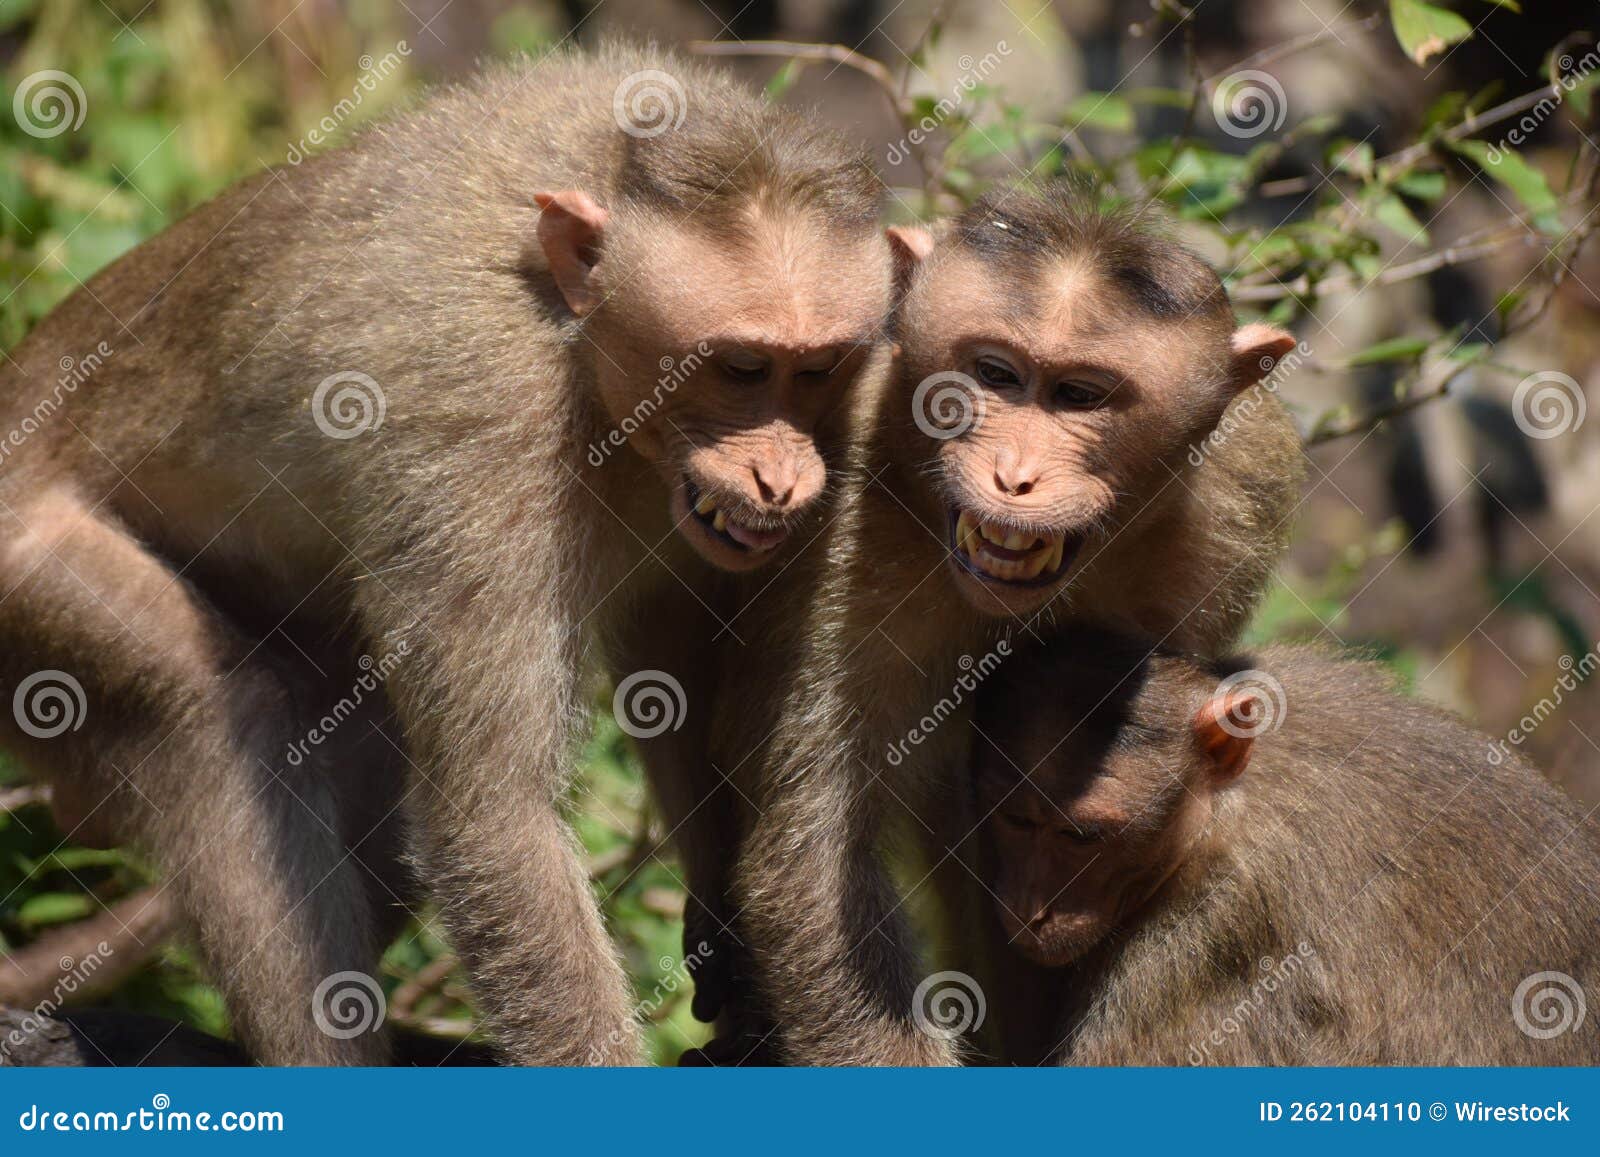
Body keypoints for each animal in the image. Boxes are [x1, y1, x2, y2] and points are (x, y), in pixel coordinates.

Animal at [0, 42, 892, 1064]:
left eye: (817, 369)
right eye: (742, 368)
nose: (781, 476)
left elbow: (672, 648)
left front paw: (728, 934)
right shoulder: (480, 412)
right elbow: (495, 814)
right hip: (27, 579)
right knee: (210, 709)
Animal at [677, 187, 1308, 1064]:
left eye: (1081, 395)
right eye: (997, 376)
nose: (1016, 476)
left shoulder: (1238, 498)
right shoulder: (843, 507)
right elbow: (815, 858)